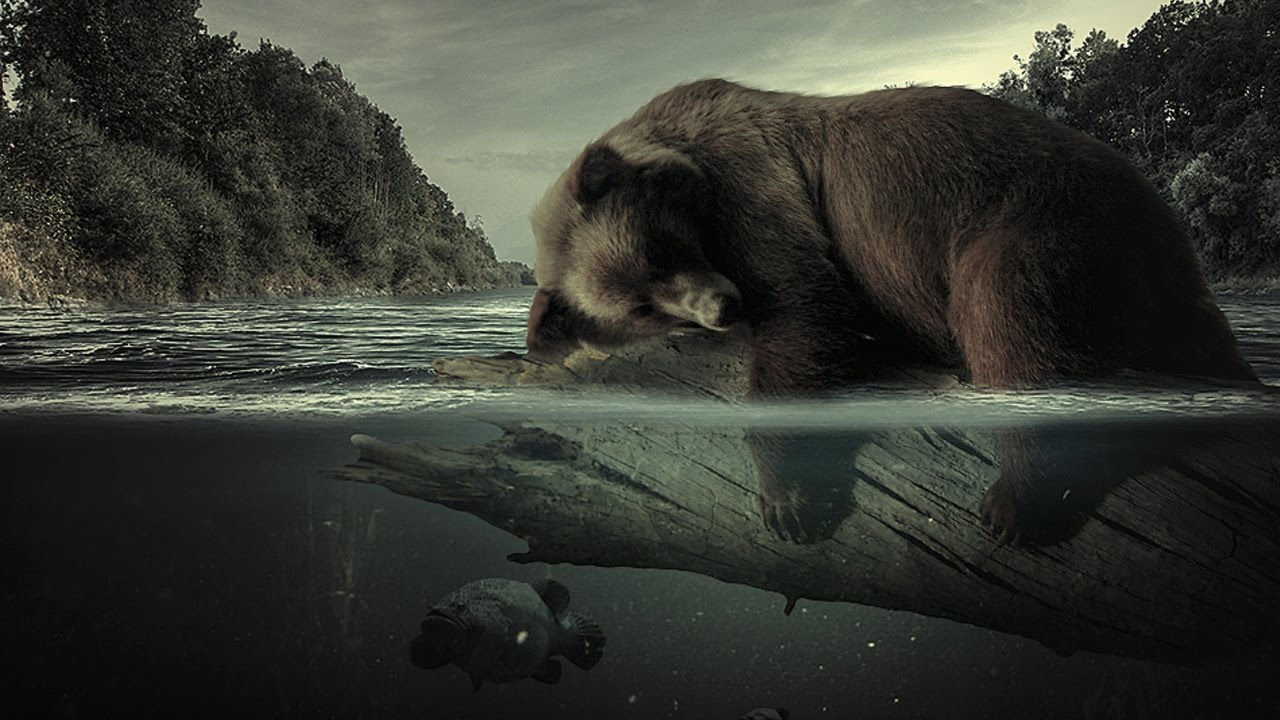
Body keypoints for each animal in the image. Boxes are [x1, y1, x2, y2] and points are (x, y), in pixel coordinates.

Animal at [524, 78, 1256, 544]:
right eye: (643, 308)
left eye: (662, 246)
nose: (723, 308)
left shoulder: (751, 182)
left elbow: (803, 304)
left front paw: (788, 501)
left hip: (1033, 220)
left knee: (1010, 324)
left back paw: (1018, 501)